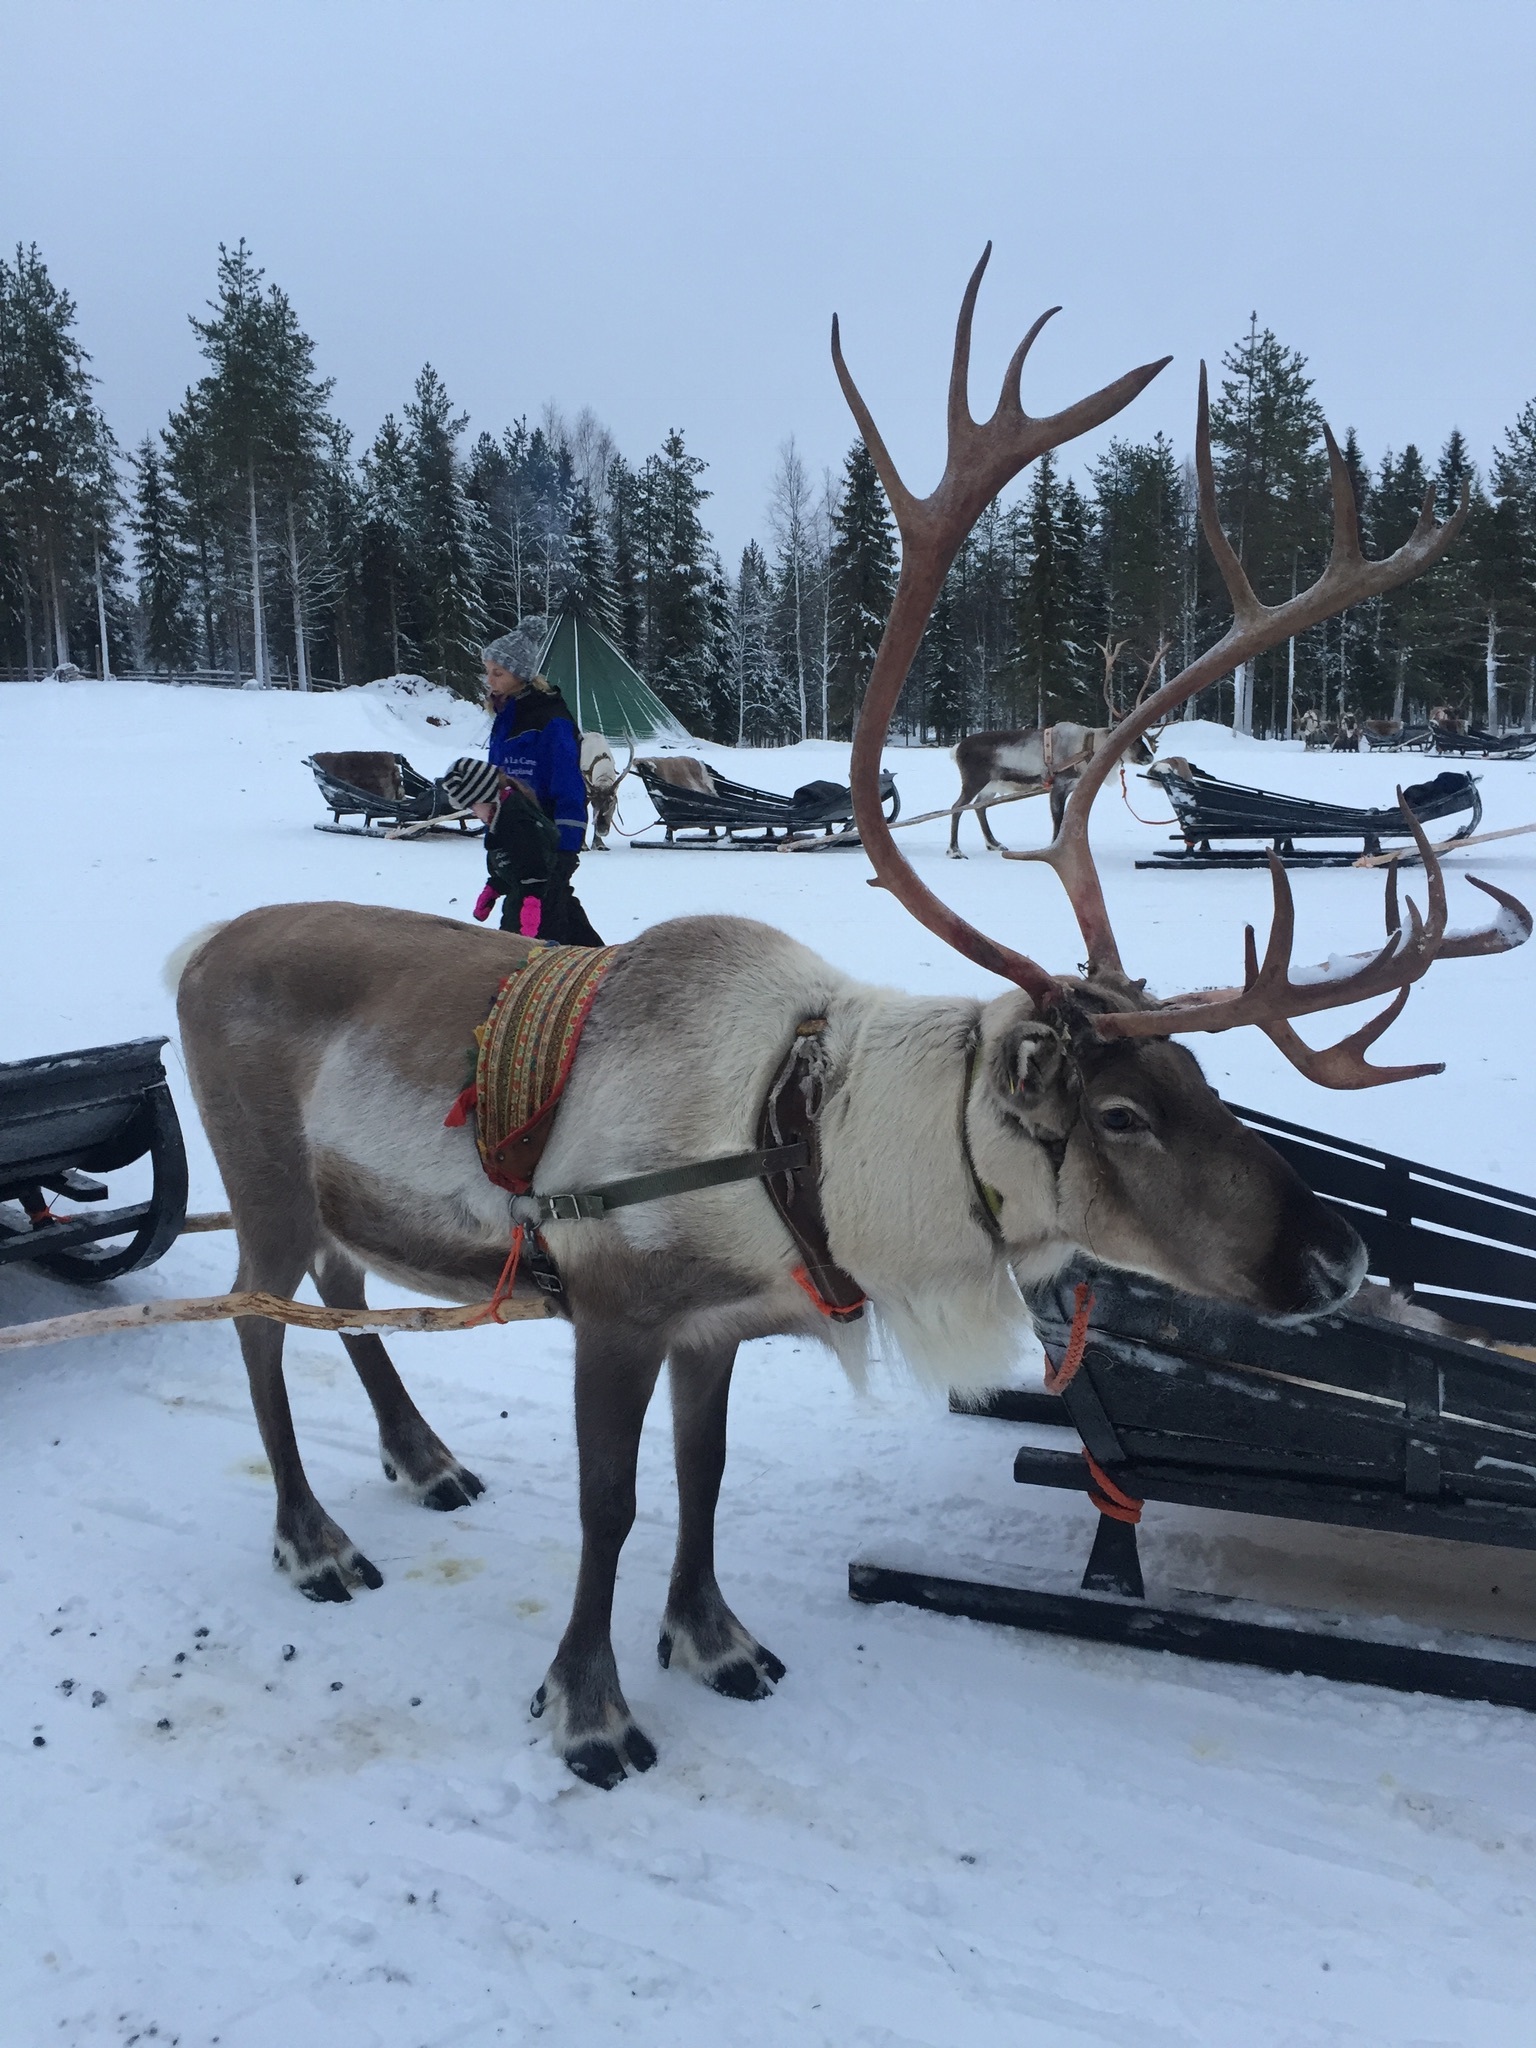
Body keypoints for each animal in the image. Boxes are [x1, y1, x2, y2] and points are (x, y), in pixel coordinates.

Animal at [947, 638, 1164, 857]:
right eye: (1131, 738)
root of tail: (956, 748)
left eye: (1142, 736)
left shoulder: (1071, 787)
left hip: (992, 784)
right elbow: (1058, 822)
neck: (1088, 746)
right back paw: (955, 850)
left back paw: (994, 843)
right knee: (957, 807)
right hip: (974, 781)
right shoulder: (1058, 785)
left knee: (979, 807)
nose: (1149, 757)